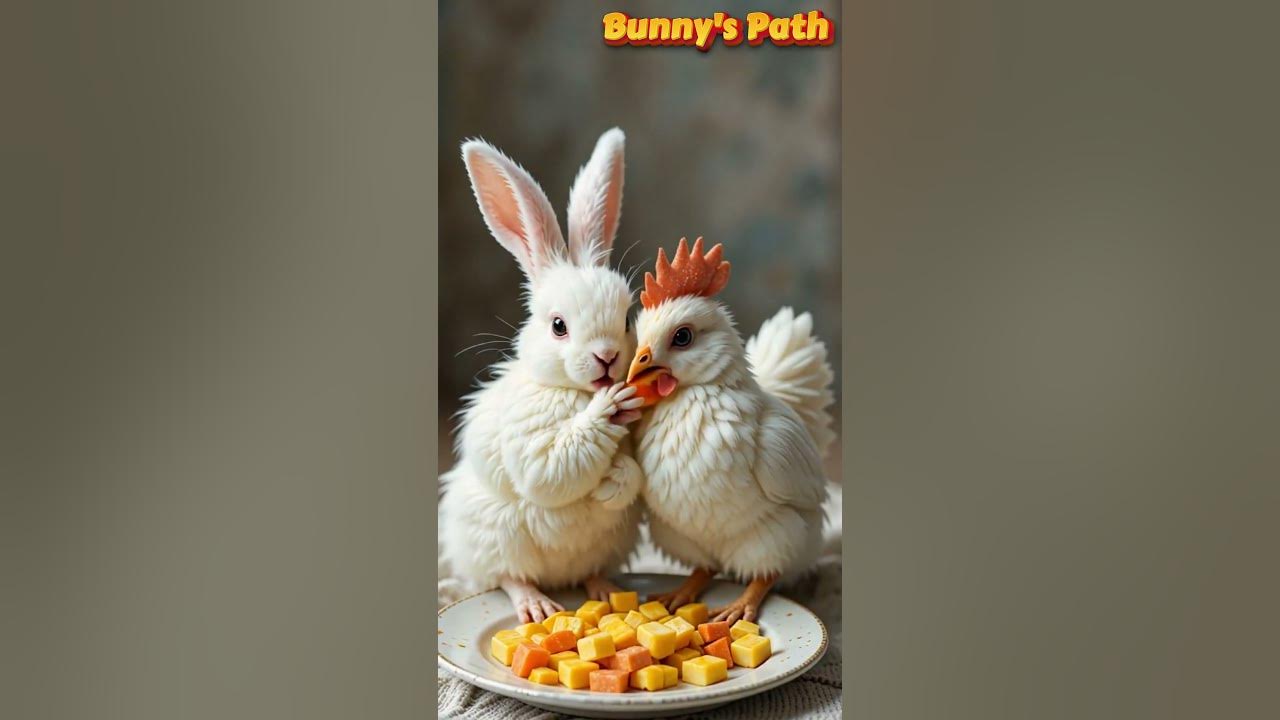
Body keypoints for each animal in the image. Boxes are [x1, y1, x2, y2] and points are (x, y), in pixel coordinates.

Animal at [439, 128, 646, 622]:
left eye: (627, 319)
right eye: (558, 326)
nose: (607, 357)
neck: (574, 391)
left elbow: (633, 475)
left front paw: (612, 481)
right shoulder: (532, 444)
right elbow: (556, 468)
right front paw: (609, 409)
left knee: (588, 572)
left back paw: (606, 590)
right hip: (493, 538)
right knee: (509, 577)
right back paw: (537, 605)